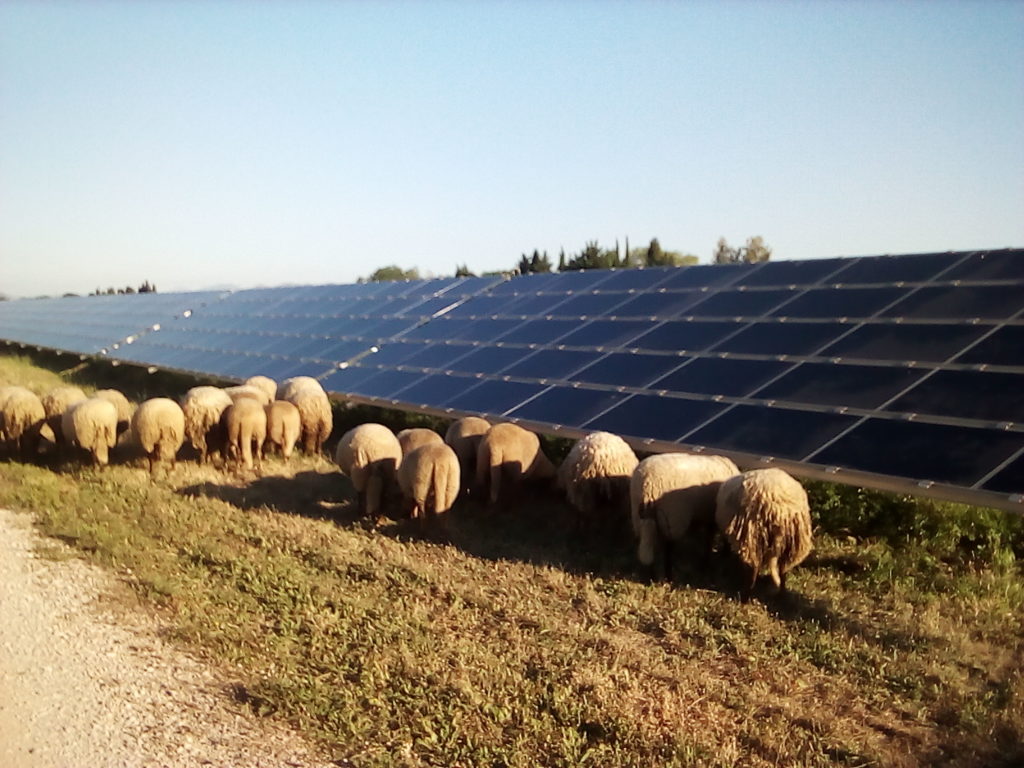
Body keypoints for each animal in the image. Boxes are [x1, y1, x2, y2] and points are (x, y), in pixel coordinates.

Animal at [626, 450, 741, 581]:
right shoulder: (711, 516)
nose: (727, 554)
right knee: (668, 547)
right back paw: (669, 576)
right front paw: (706, 563)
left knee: (649, 544)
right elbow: (709, 539)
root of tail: (647, 484)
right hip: (673, 516)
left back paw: (651, 576)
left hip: (640, 516)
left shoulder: (708, 516)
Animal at [716, 468, 811, 602]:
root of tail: (779, 510)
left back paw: (744, 597)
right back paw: (782, 594)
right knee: (783, 569)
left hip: (750, 534)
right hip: (793, 543)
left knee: (753, 568)